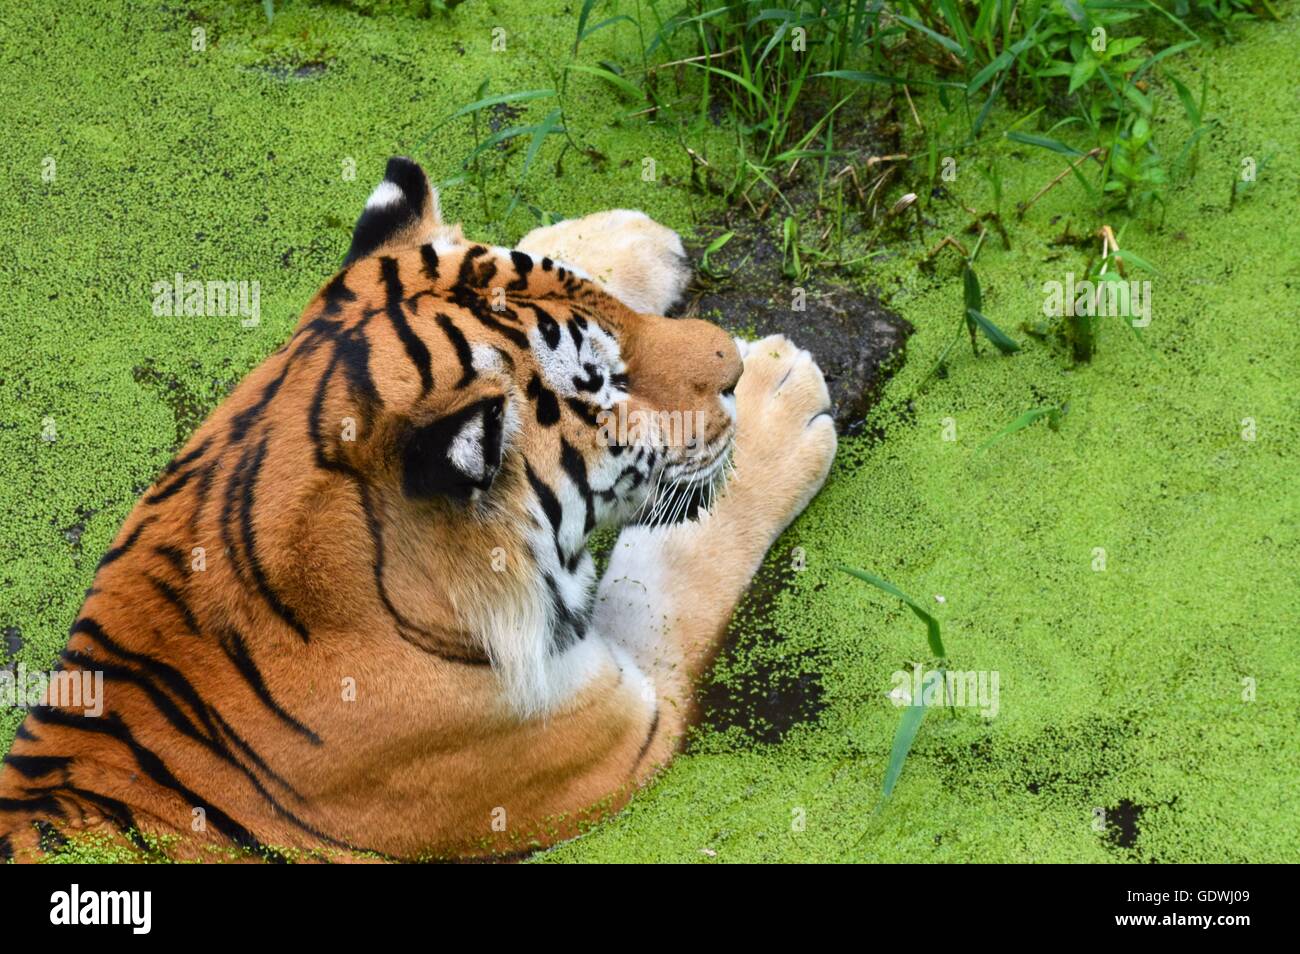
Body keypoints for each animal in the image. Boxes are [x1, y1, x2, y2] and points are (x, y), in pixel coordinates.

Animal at [0, 157, 836, 862]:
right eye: (601, 382)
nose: (728, 364)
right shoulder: (619, 725)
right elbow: (674, 565)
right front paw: (778, 395)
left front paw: (628, 237)